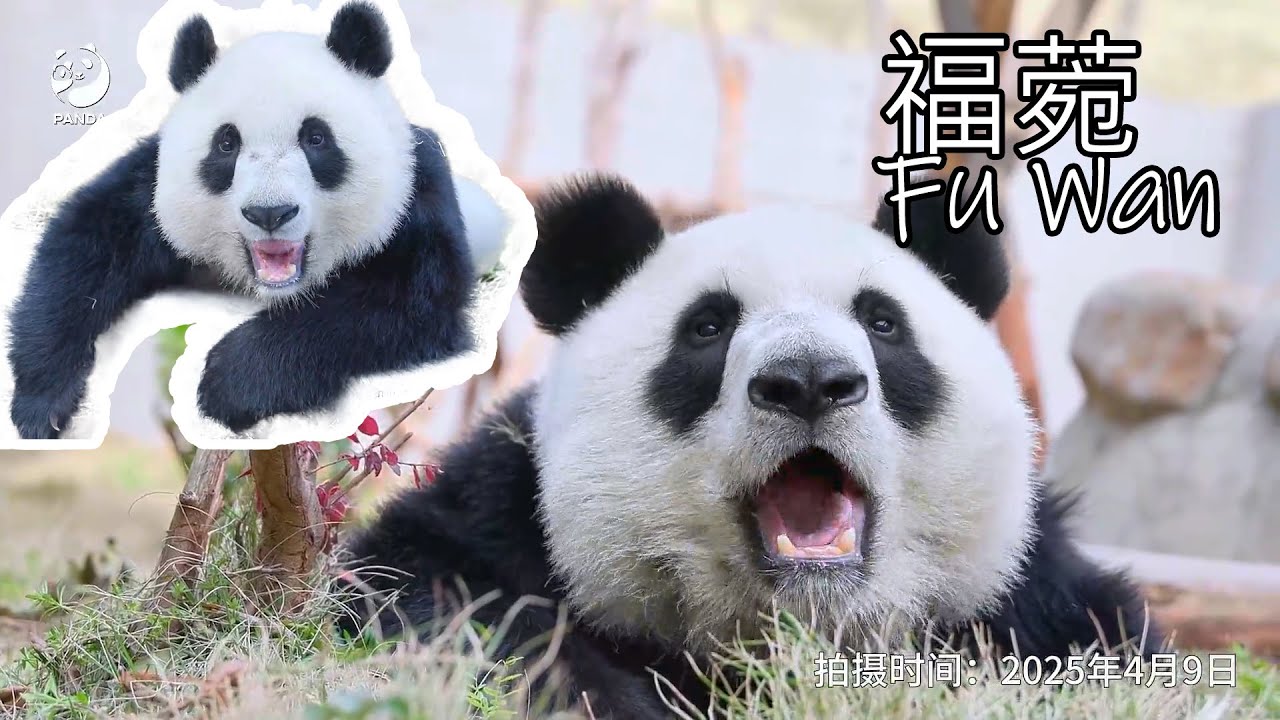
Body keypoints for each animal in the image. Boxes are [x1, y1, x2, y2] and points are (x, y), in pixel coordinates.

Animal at [7, 1, 476, 439]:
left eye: (316, 138)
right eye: (226, 143)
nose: (270, 212)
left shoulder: (416, 195)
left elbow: (403, 303)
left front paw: (230, 381)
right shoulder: (150, 188)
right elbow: (87, 243)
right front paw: (42, 402)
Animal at [338, 175, 1159, 718]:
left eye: (883, 322)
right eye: (707, 326)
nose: (809, 381)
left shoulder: (1025, 593)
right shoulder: (509, 510)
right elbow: (431, 592)